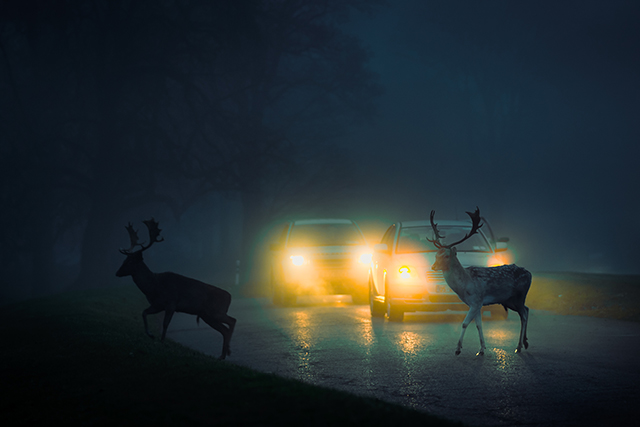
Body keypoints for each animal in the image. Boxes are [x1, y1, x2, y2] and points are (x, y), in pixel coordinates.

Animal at [115, 218, 236, 360]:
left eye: (130, 261)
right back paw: (223, 355)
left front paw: (161, 341)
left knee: (232, 321)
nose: (117, 272)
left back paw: (227, 352)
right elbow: (144, 312)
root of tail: (230, 297)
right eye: (125, 259)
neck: (154, 287)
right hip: (207, 315)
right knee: (224, 329)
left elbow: (165, 323)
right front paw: (151, 334)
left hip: (215, 311)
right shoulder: (157, 305)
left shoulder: (171, 303)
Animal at [428, 207, 531, 356]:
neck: (465, 285)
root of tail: (530, 274)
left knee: (523, 315)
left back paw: (518, 347)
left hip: (519, 295)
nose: (433, 266)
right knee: (527, 310)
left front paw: (458, 349)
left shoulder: (476, 300)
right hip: (509, 300)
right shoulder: (477, 304)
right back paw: (525, 343)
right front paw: (481, 349)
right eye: (436, 255)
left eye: (446, 256)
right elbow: (478, 325)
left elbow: (465, 323)